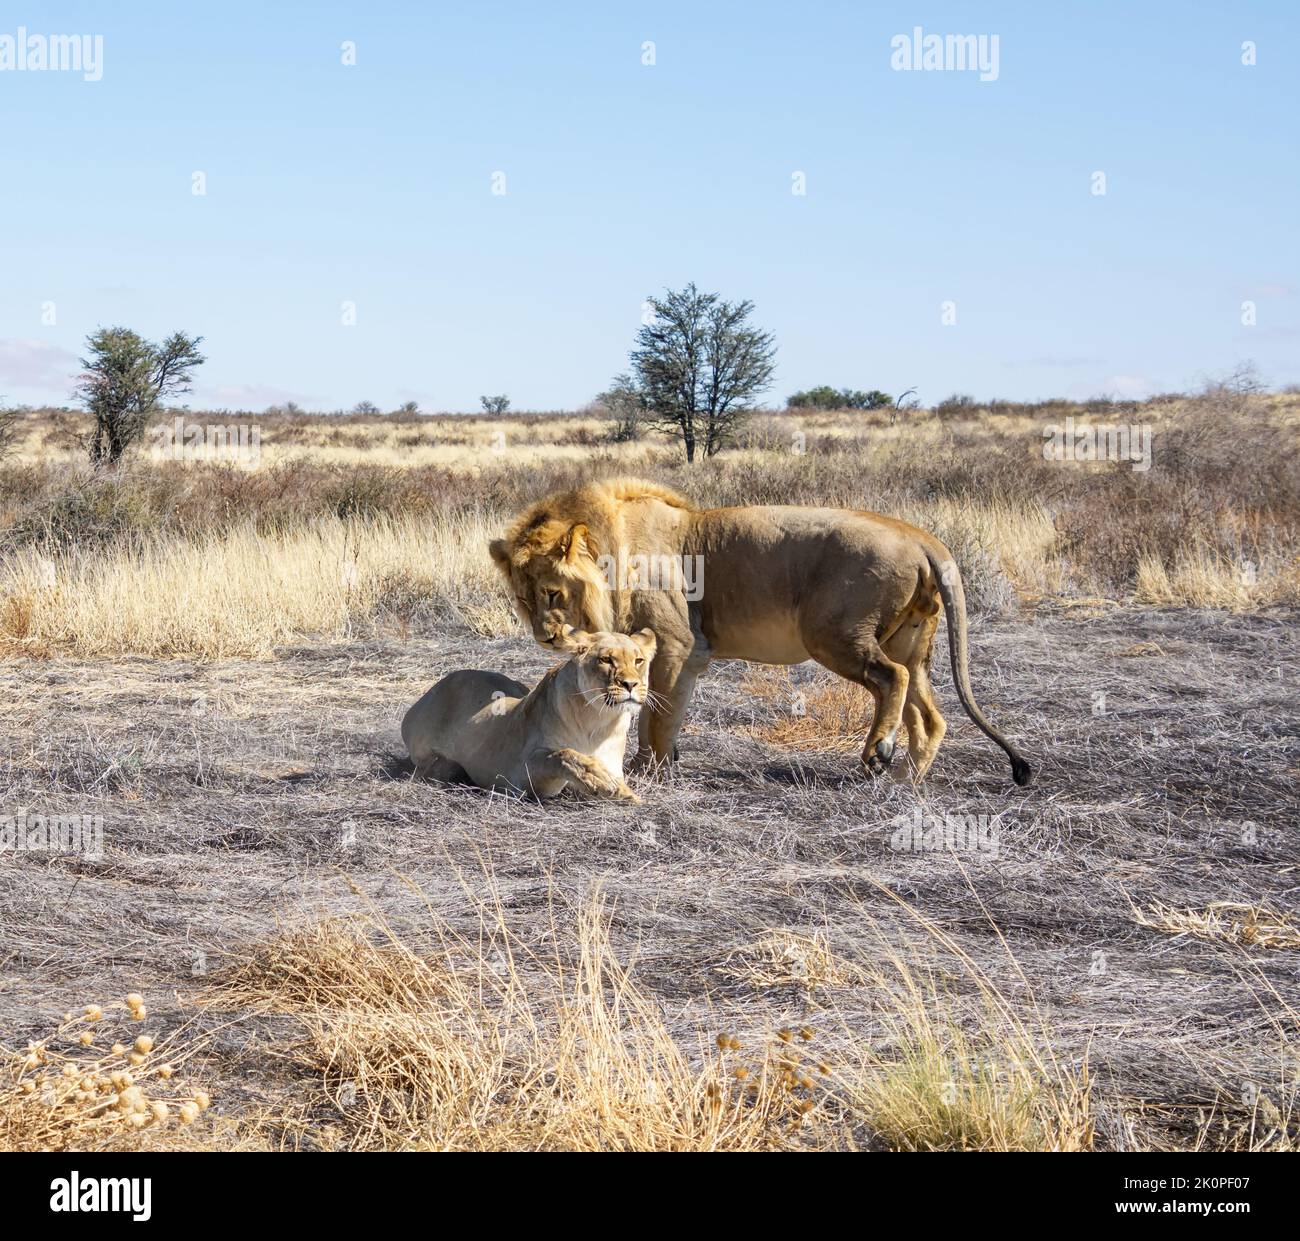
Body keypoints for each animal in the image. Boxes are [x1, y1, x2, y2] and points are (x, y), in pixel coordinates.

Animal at [400, 627, 656, 802]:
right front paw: (600, 780)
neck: (599, 721)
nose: (631, 684)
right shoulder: (520, 777)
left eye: (638, 660)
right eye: (606, 659)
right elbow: (562, 755)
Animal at [489, 478, 1031, 786]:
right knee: (930, 715)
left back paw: (879, 752)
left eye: (553, 594)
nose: (546, 638)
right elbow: (664, 713)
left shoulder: (677, 644)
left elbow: (655, 718)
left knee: (890, 678)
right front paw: (660, 764)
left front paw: (651, 771)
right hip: (910, 639)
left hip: (833, 634)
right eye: (523, 599)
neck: (610, 554)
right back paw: (904, 781)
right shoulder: (685, 655)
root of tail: (920, 535)